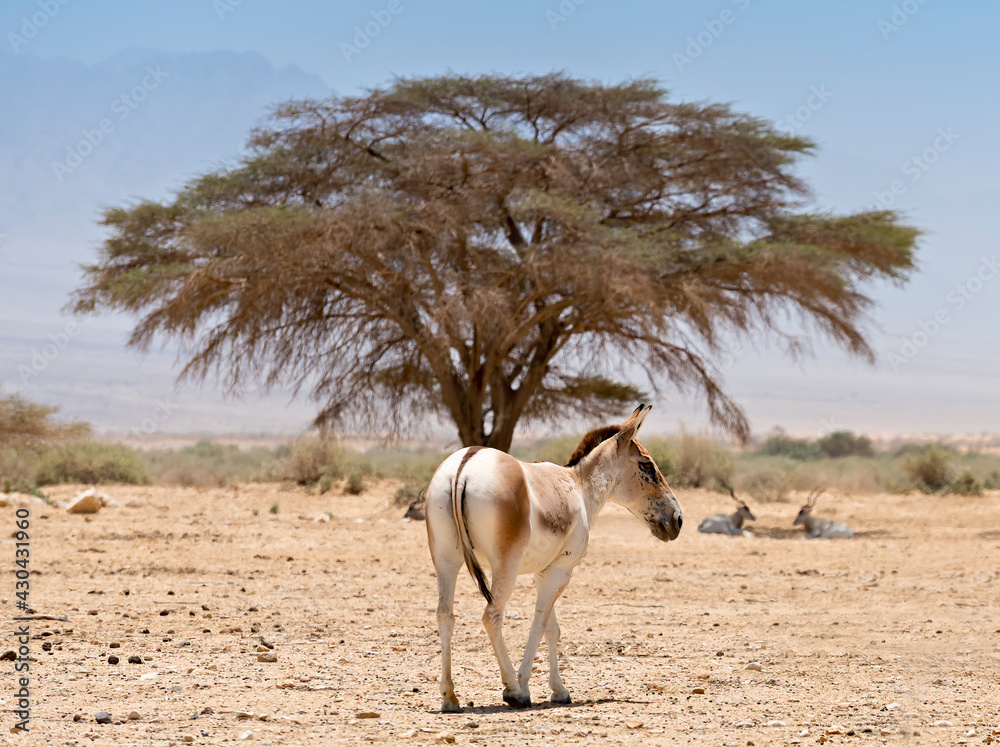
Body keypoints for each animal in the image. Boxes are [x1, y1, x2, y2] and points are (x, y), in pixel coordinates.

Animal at [425, 405, 682, 712]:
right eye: (647, 466)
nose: (677, 520)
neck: (579, 487)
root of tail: (465, 463)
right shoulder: (562, 570)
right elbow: (539, 625)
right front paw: (524, 687)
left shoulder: (544, 572)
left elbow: (552, 628)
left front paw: (559, 690)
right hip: (505, 566)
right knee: (492, 616)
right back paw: (512, 689)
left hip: (445, 561)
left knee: (445, 615)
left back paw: (449, 696)